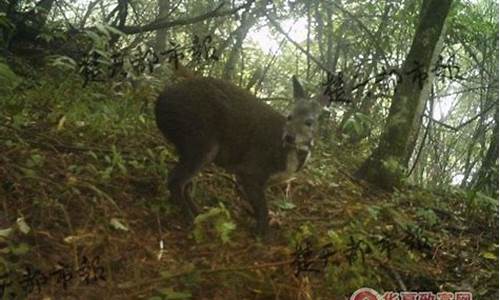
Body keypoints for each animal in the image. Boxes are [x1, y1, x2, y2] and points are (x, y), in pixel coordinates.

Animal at [156, 66, 328, 237]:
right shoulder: (251, 170)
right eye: (289, 117)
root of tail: (159, 103)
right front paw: (263, 235)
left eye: (309, 122)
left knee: (185, 184)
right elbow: (263, 208)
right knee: (175, 181)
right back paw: (190, 219)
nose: (289, 137)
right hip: (200, 140)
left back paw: (199, 212)